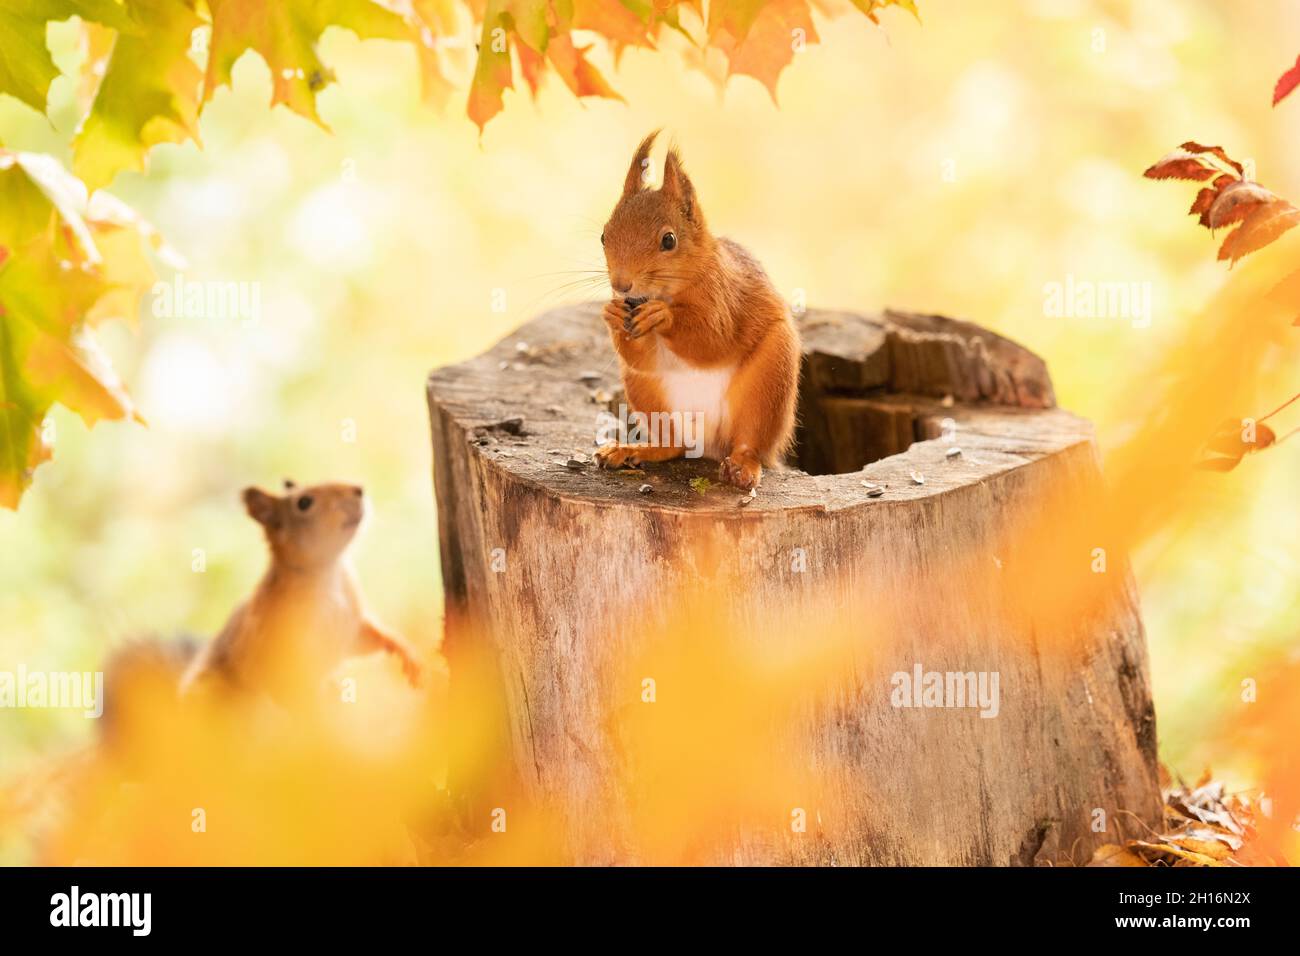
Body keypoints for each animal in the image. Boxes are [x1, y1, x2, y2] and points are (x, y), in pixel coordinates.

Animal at [593, 130, 800, 491]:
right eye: (604, 235)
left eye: (669, 240)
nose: (622, 284)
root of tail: (708, 444)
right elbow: (642, 359)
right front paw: (613, 315)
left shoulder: (725, 299)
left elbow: (712, 340)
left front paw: (663, 317)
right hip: (649, 396)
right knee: (672, 445)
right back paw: (631, 450)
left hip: (767, 385)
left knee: (750, 442)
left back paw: (743, 466)